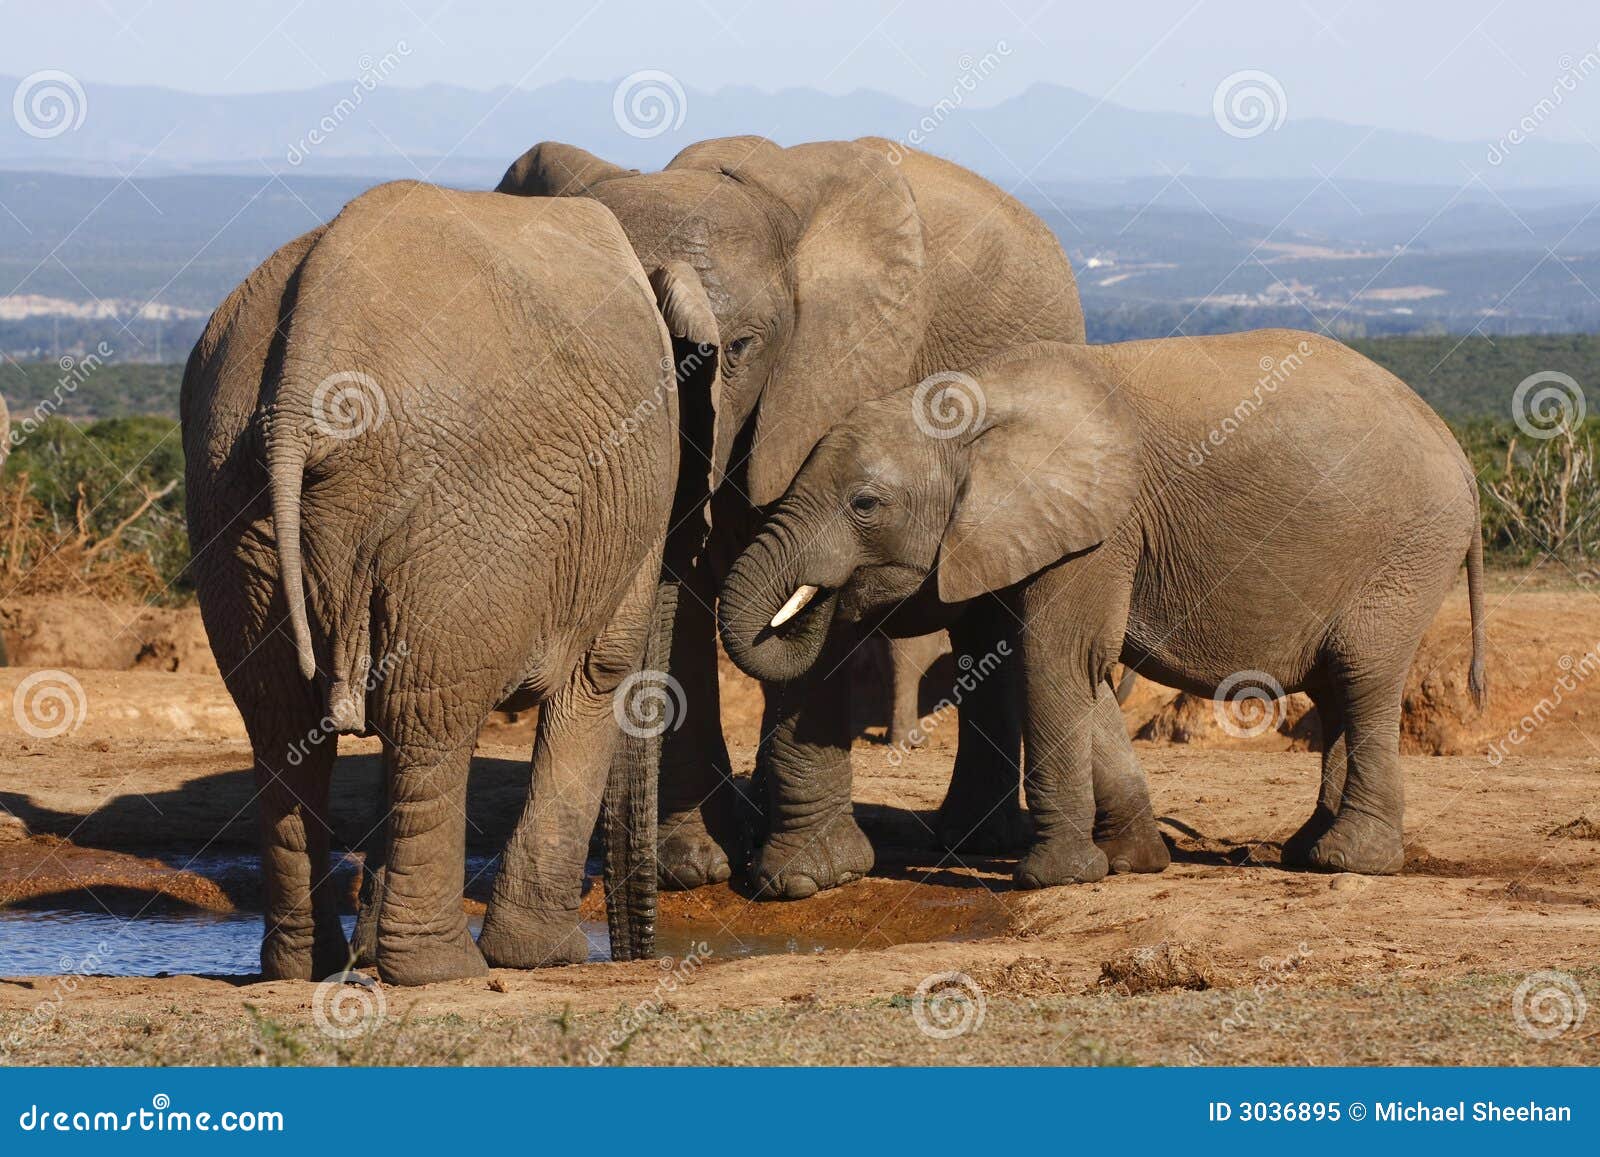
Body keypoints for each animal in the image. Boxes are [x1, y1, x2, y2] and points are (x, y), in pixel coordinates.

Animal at [182, 179, 703, 984]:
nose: (634, 956)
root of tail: (304, 382)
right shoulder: (644, 469)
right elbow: (602, 672)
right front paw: (547, 959)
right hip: (463, 514)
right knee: (428, 719)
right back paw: (444, 968)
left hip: (232, 494)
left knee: (282, 719)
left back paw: (310, 967)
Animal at [496, 135, 1085, 898]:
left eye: (744, 348)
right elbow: (684, 601)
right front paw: (691, 869)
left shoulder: (833, 376)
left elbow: (813, 578)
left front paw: (806, 879)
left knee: (986, 618)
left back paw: (975, 841)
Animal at [718, 331, 1488, 887]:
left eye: (865, 504)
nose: (826, 597)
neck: (975, 403)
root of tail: (1462, 458)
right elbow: (1075, 673)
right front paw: (1133, 864)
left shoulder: (1098, 528)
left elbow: (1054, 659)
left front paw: (1055, 878)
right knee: (1335, 690)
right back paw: (1304, 850)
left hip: (1405, 553)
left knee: (1363, 677)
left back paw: (1348, 861)